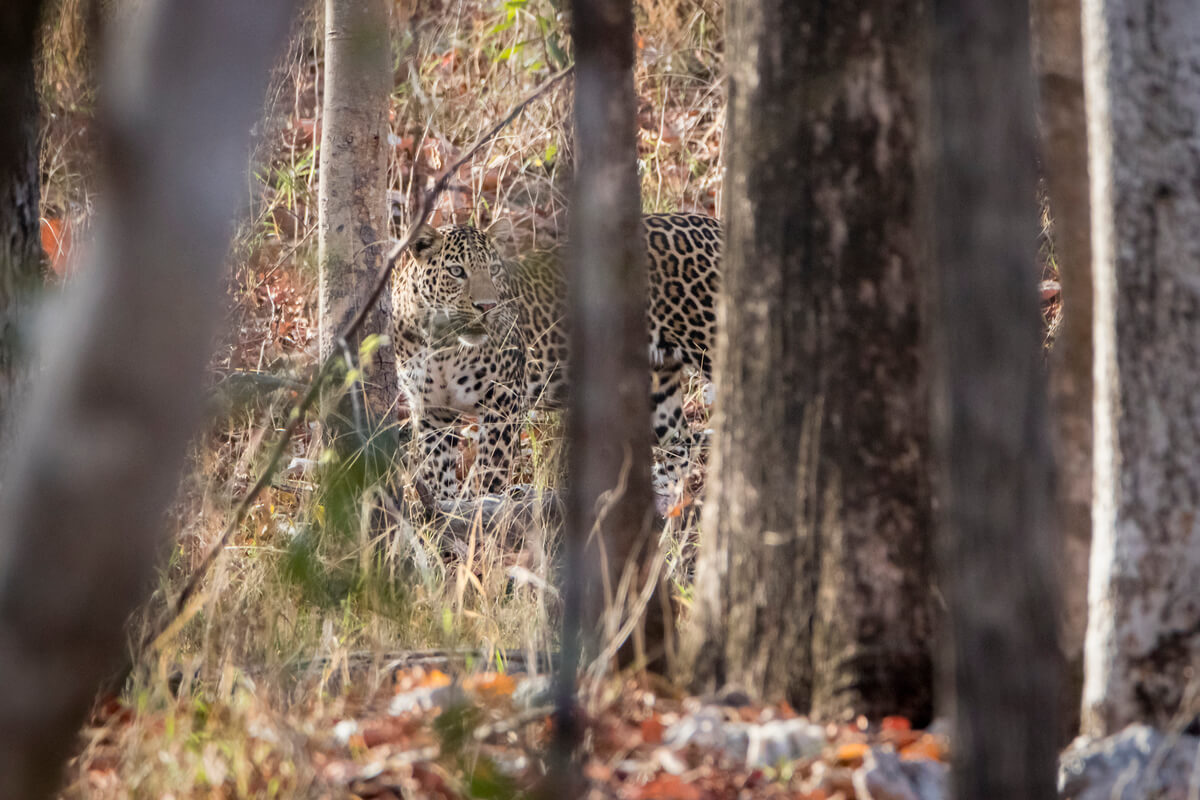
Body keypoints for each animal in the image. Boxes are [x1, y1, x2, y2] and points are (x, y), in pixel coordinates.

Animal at [391, 212, 721, 501]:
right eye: (457, 271)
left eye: (494, 270)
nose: (487, 307)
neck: (441, 344)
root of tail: (713, 224)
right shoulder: (431, 410)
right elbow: (437, 470)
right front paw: (447, 511)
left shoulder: (503, 403)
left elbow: (488, 472)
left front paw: (478, 515)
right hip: (657, 382)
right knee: (680, 444)